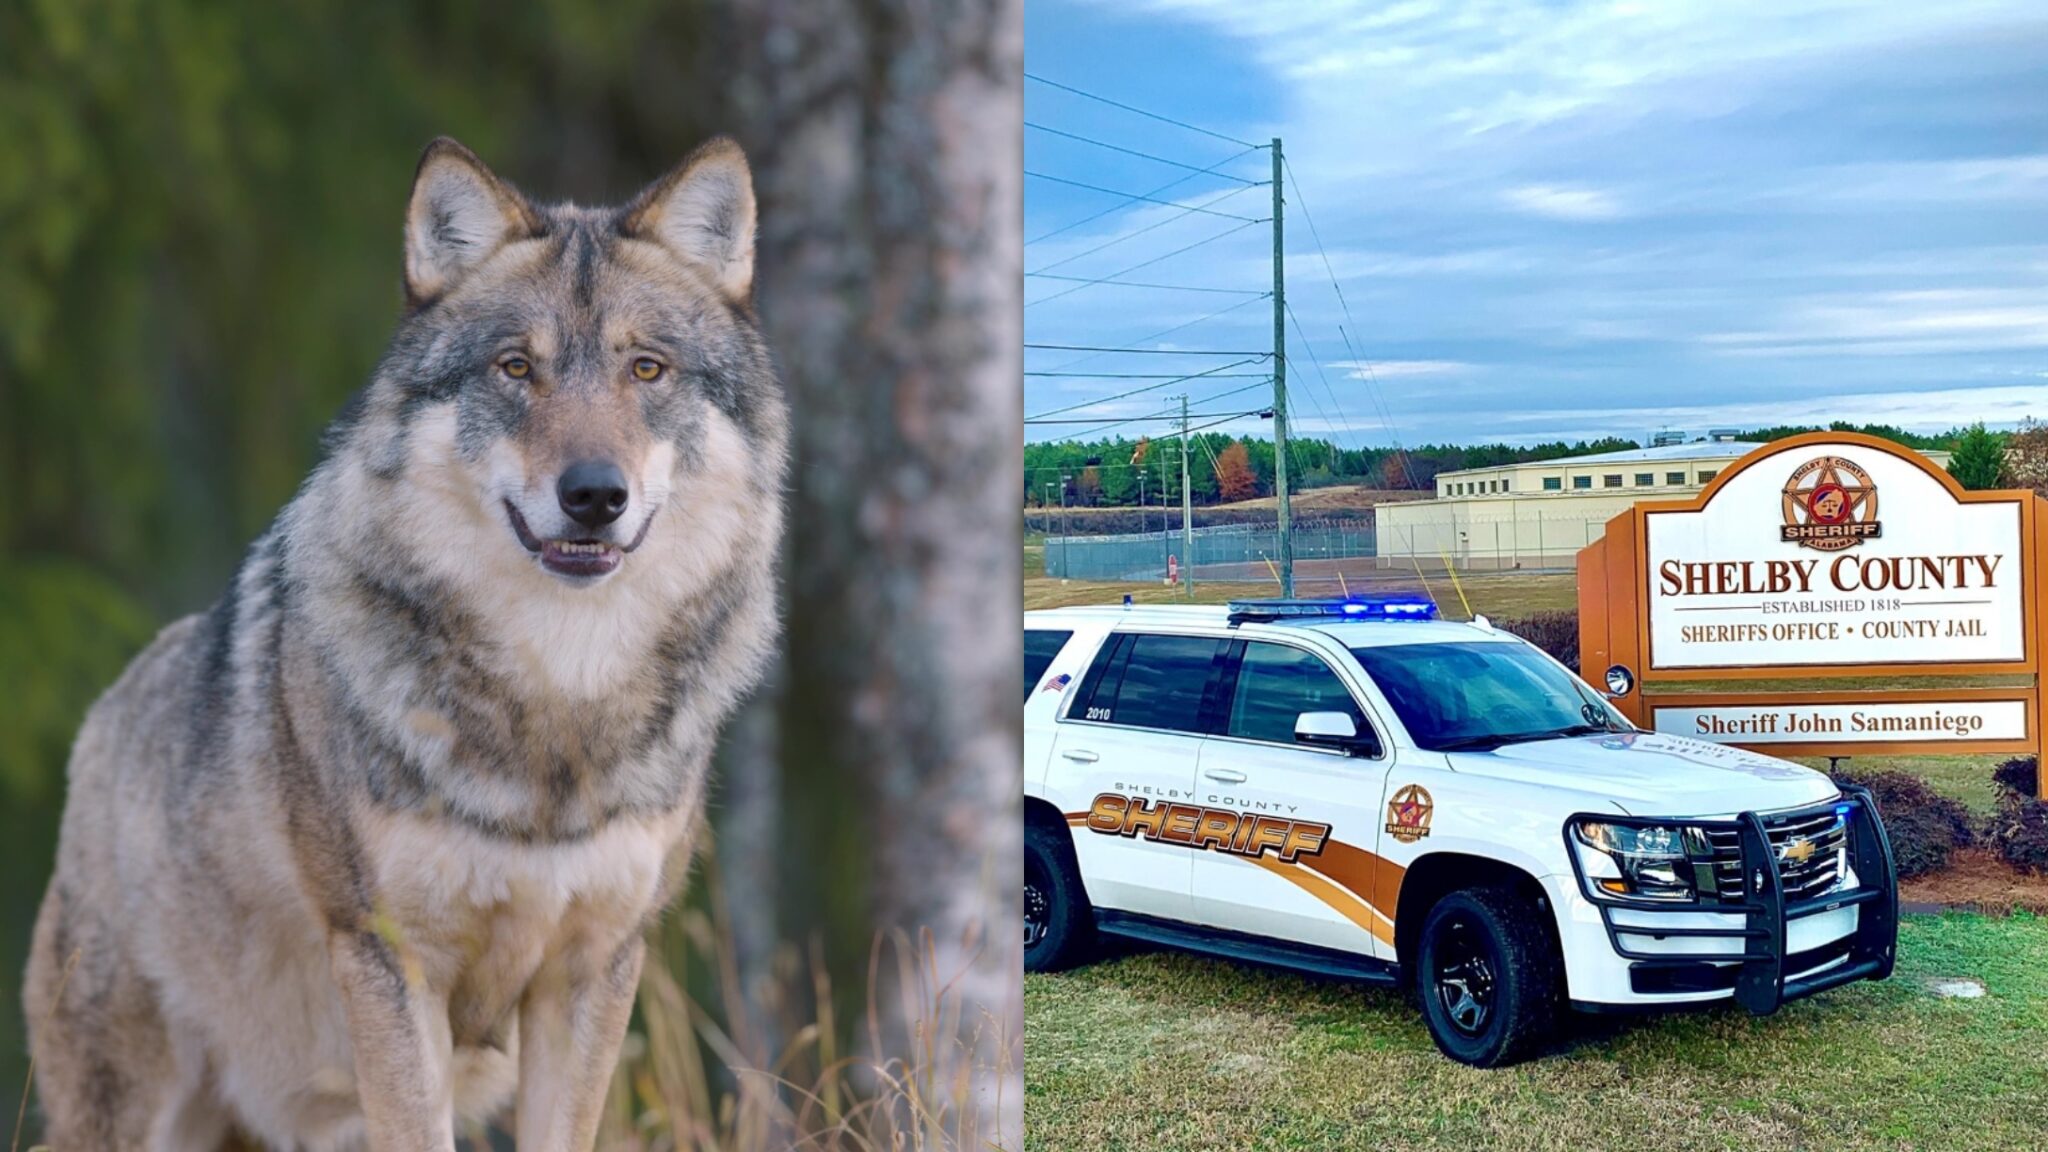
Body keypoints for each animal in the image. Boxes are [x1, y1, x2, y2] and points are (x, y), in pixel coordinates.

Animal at [23, 135, 786, 1151]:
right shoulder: (392, 964)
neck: (555, 699)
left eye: (647, 370)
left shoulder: (591, 971)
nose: (593, 494)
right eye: (516, 368)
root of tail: (102, 719)